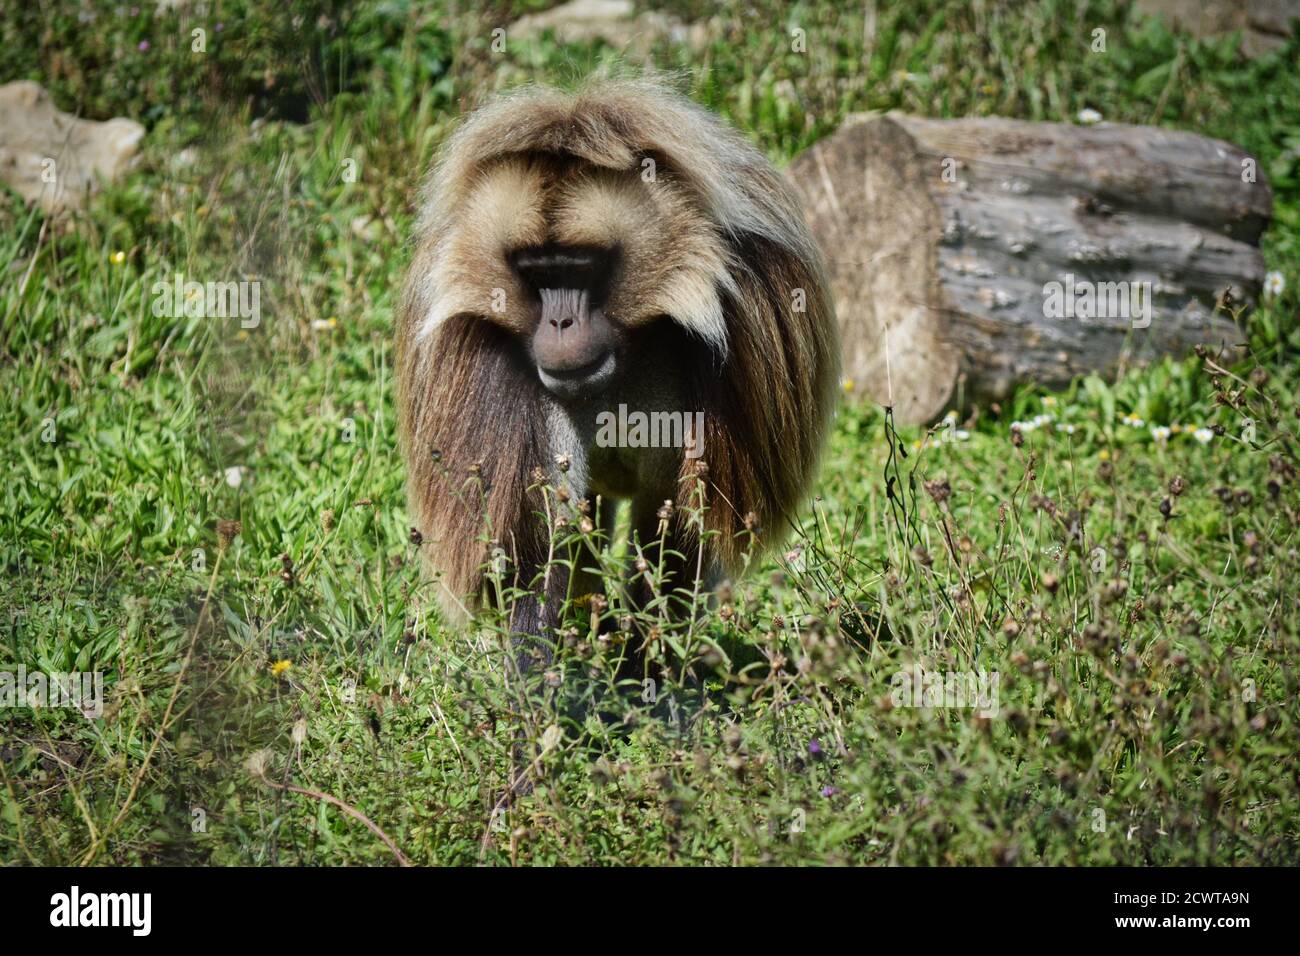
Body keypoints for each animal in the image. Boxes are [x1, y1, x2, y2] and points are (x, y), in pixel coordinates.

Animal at [396, 78, 838, 673]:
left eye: (580, 267)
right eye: (535, 272)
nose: (560, 323)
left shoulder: (750, 312)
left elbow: (680, 526)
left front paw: (651, 673)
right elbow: (537, 541)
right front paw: (544, 684)